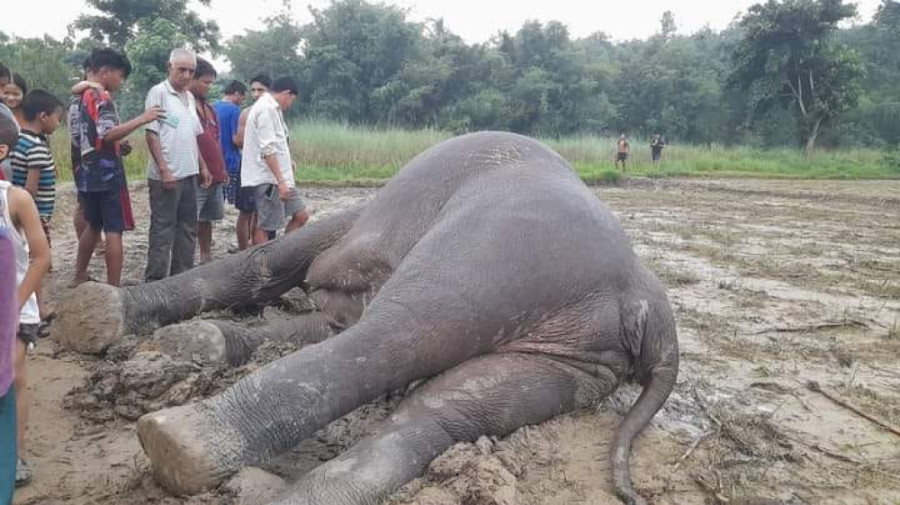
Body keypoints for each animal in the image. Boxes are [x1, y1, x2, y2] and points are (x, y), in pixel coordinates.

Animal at [54, 131, 679, 505]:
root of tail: (646, 298)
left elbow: (276, 266)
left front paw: (94, 317)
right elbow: (300, 309)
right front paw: (186, 342)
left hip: (503, 253)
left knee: (396, 334)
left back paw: (182, 443)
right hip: (578, 357)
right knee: (447, 410)